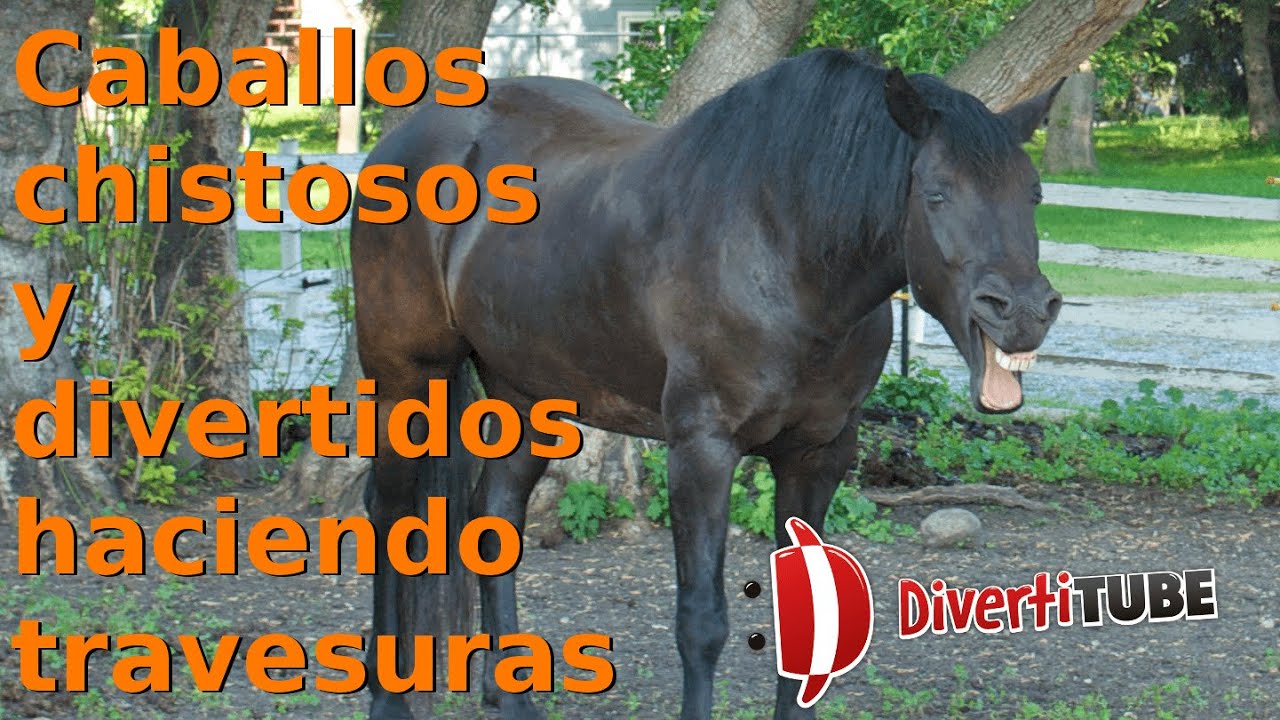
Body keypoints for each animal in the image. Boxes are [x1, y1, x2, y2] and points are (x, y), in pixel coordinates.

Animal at [350, 48, 1064, 720]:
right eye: (937, 192)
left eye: (1032, 194)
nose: (1025, 310)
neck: (785, 249)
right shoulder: (702, 451)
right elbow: (700, 622)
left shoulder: (818, 456)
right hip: (404, 378)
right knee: (390, 513)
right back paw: (388, 699)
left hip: (527, 396)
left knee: (495, 516)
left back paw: (512, 696)